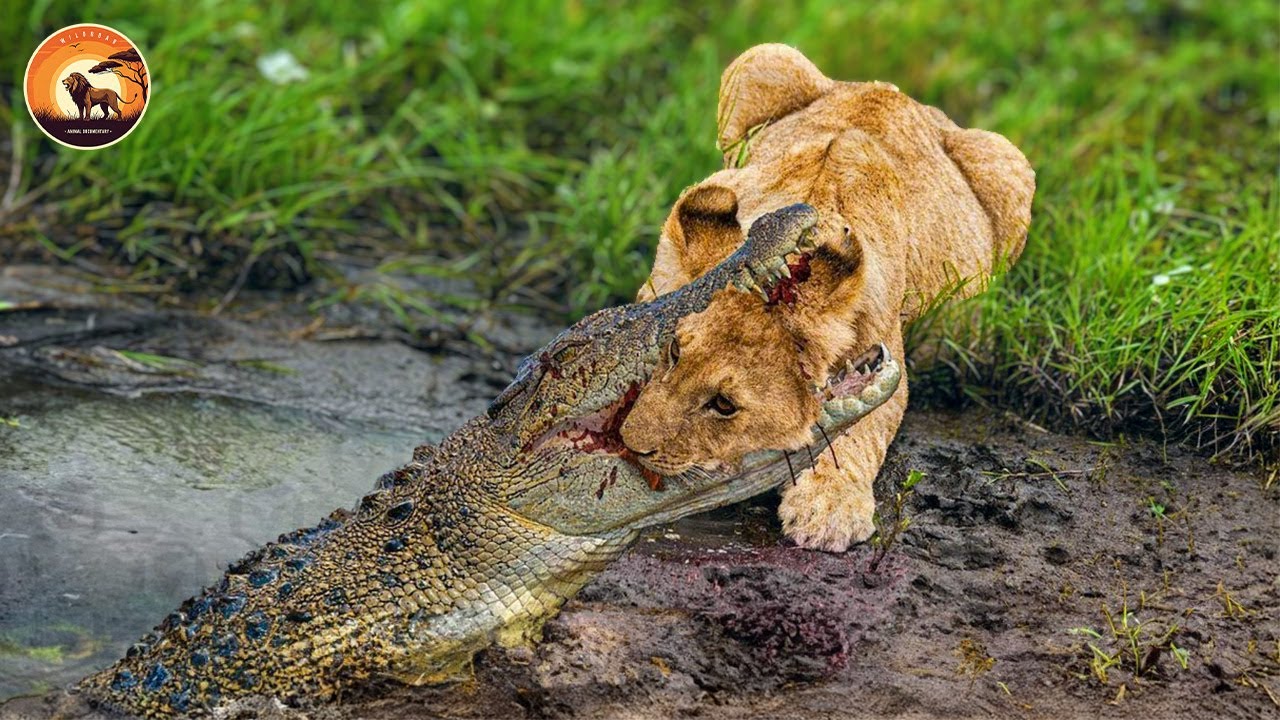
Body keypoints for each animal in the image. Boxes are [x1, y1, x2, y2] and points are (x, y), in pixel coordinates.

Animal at [620, 44, 1034, 551]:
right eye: (675, 352)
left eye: (725, 405)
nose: (631, 444)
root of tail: (894, 91)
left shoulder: (883, 354)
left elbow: (856, 427)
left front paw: (828, 507)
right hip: (768, 56)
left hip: (1007, 164)